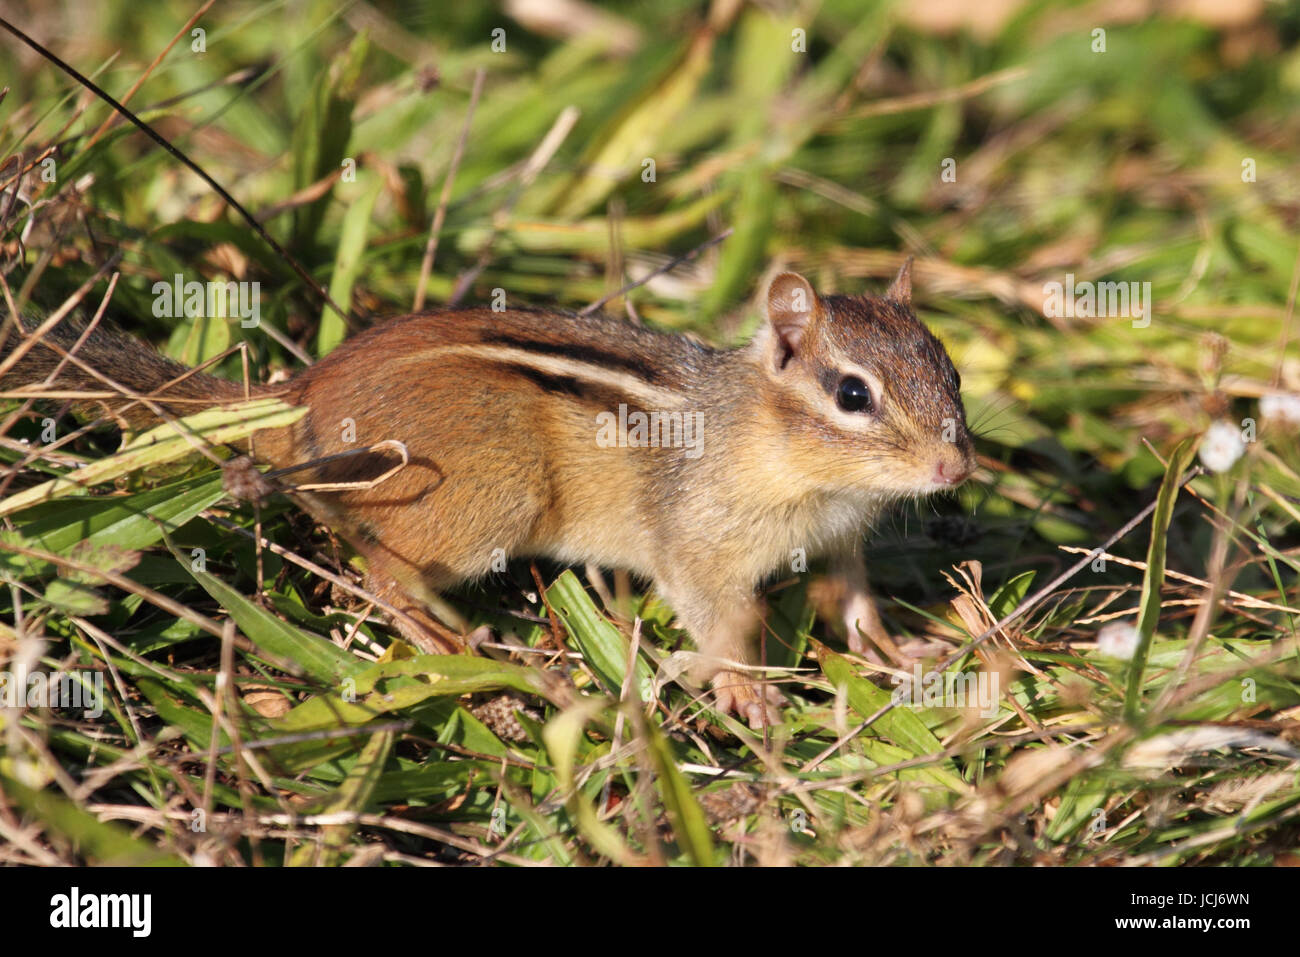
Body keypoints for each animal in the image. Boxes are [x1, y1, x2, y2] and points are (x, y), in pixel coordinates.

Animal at [2, 260, 975, 727]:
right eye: (852, 395)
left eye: (952, 370)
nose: (956, 470)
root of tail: (296, 401)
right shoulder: (699, 547)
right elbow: (723, 620)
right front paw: (746, 691)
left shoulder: (840, 541)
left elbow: (852, 602)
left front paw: (905, 653)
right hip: (487, 502)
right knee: (382, 576)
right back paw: (465, 645)